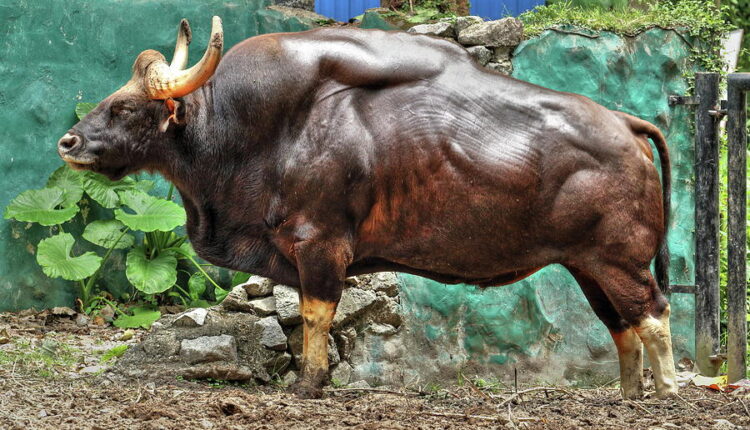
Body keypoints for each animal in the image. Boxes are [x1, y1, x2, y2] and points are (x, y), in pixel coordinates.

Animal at [58, 17, 677, 399]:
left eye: (125, 107)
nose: (68, 142)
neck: (256, 129)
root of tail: (626, 124)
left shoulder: (320, 245)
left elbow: (316, 315)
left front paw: (308, 384)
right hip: (587, 264)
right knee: (621, 325)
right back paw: (627, 397)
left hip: (621, 261)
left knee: (653, 313)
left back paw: (667, 392)